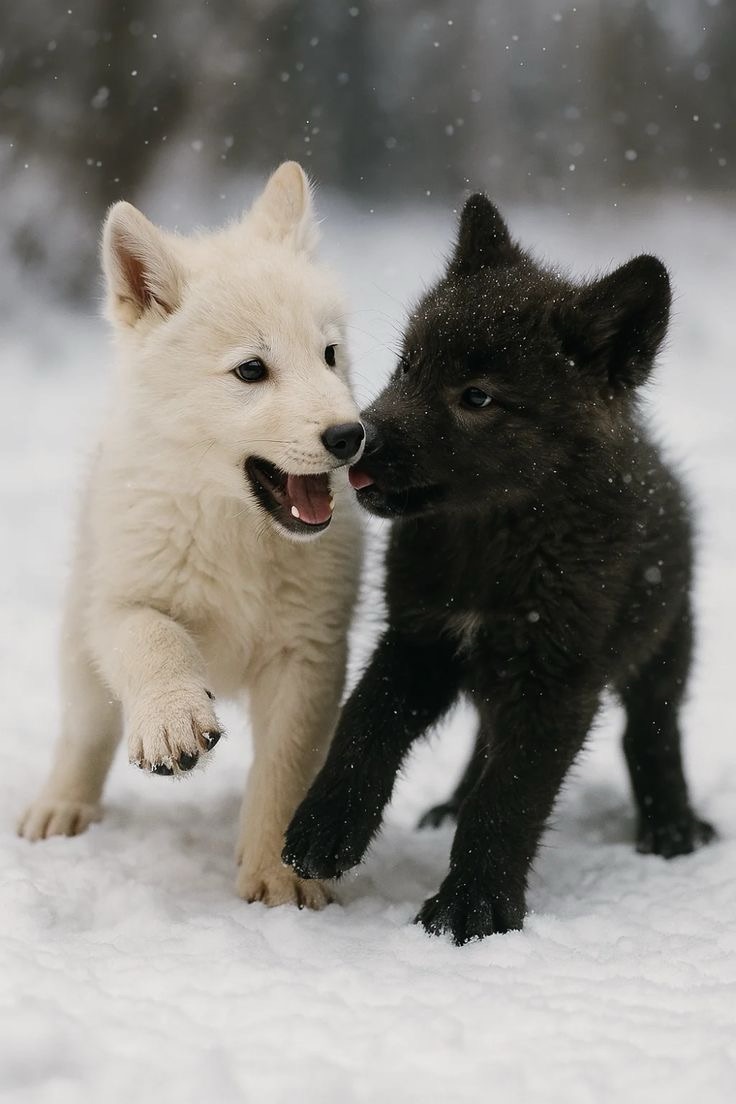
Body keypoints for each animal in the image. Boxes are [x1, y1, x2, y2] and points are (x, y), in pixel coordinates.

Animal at [18, 162, 365, 910]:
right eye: (251, 370)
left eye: (330, 355)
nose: (351, 436)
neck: (234, 528)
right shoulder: (123, 602)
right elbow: (155, 640)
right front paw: (172, 720)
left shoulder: (308, 654)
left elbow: (286, 769)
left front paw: (279, 876)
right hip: (78, 641)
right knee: (85, 730)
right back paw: (61, 808)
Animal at [283, 193, 715, 940]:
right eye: (408, 365)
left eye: (478, 397)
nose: (356, 443)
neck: (489, 548)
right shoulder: (419, 640)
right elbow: (364, 726)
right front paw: (327, 825)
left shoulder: (557, 682)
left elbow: (510, 797)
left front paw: (474, 905)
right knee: (486, 731)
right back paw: (449, 804)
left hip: (665, 643)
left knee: (652, 733)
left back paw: (672, 828)